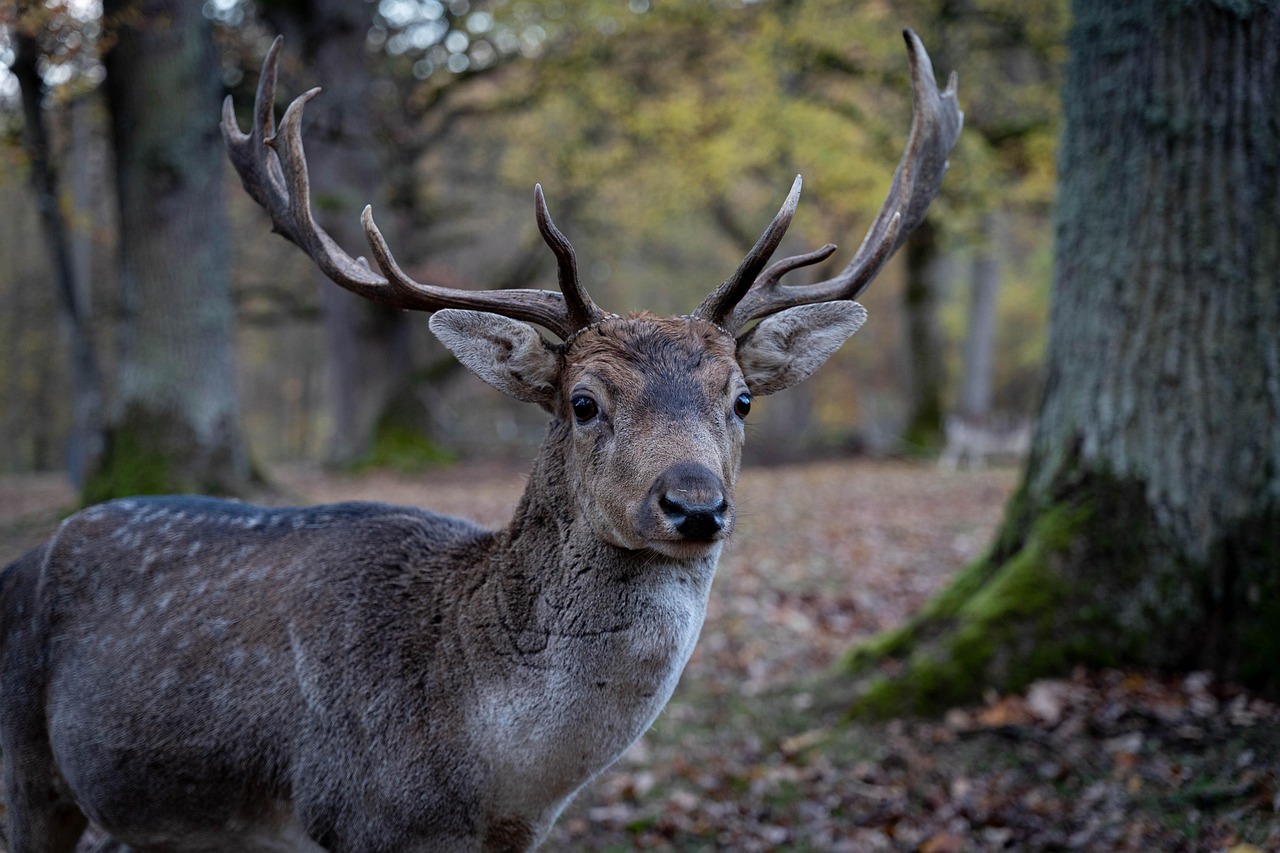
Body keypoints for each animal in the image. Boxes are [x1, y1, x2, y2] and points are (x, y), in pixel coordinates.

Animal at [0, 30, 960, 853]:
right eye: (582, 402)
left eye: (744, 399)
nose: (693, 503)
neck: (482, 786)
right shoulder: (347, 818)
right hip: (26, 774)